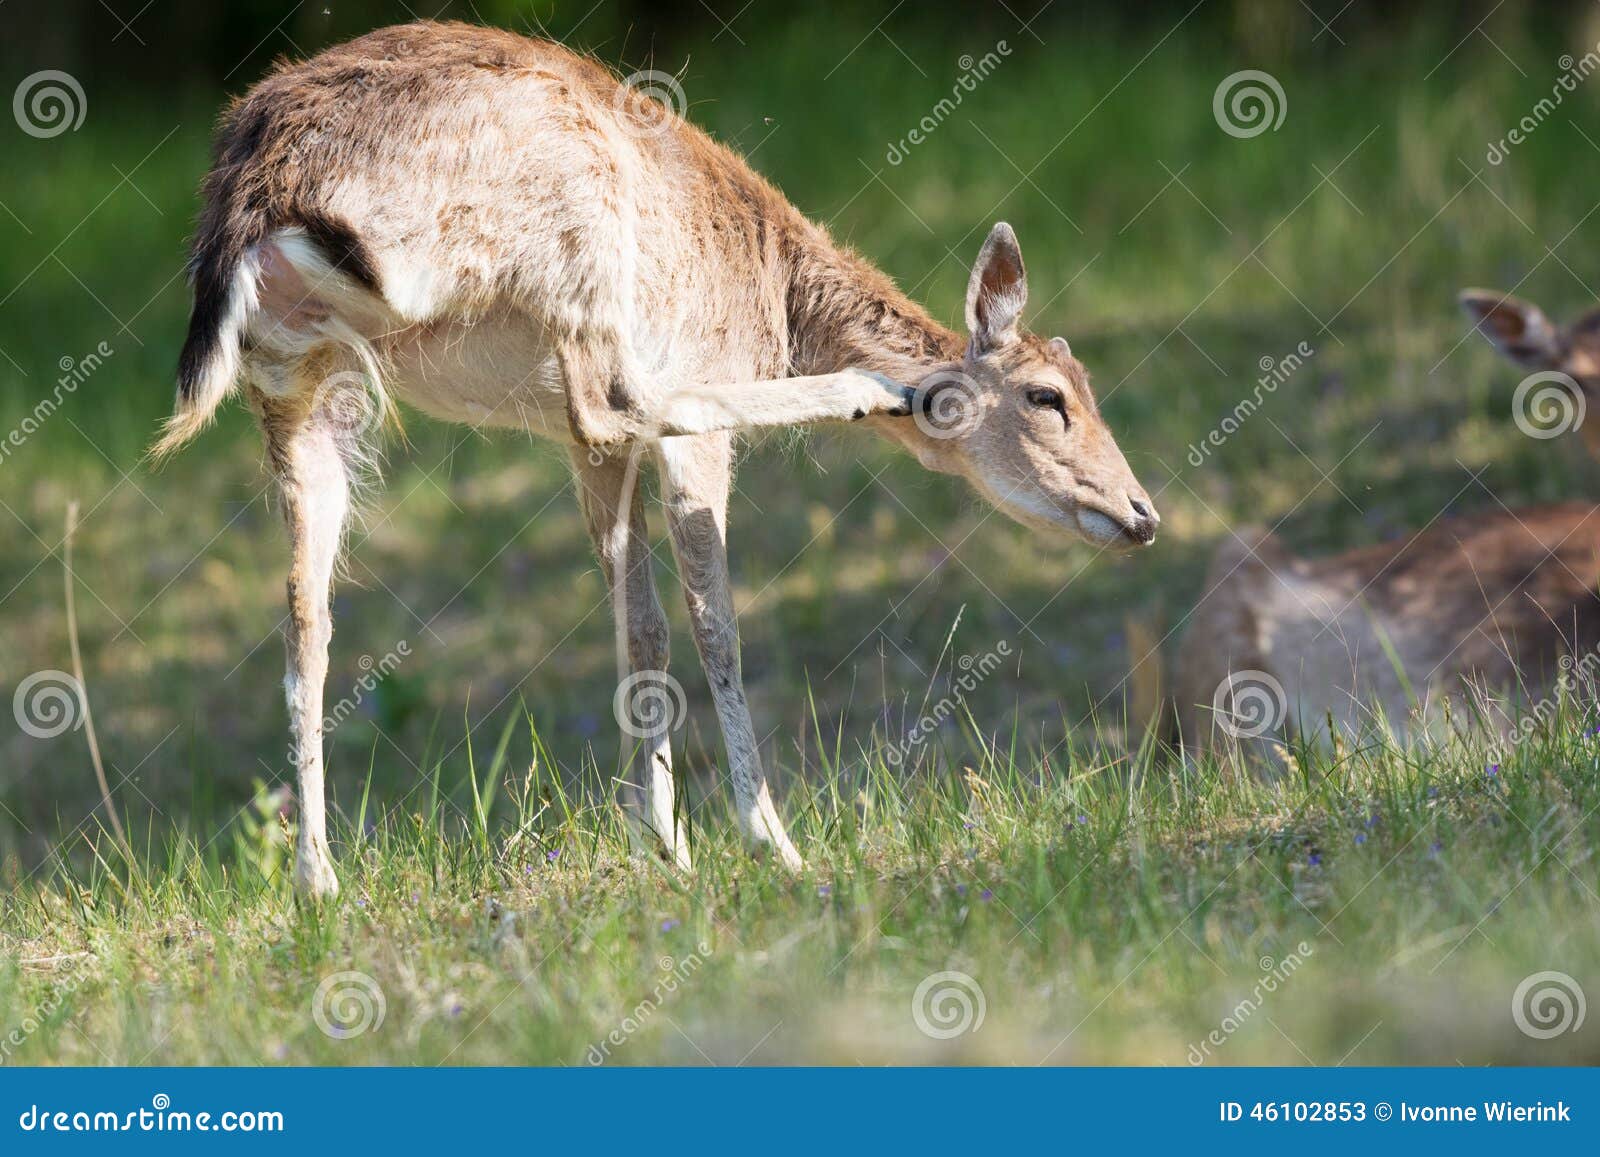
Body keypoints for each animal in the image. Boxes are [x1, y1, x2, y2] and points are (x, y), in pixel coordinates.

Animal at [149, 22, 1159, 897]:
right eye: (1049, 397)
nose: (1143, 512)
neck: (777, 304)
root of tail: (263, 188)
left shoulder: (577, 456)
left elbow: (640, 624)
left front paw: (661, 843)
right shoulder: (668, 431)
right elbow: (717, 622)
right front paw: (767, 840)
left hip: (298, 378)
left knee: (303, 616)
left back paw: (318, 880)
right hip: (573, 253)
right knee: (626, 401)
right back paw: (866, 387)